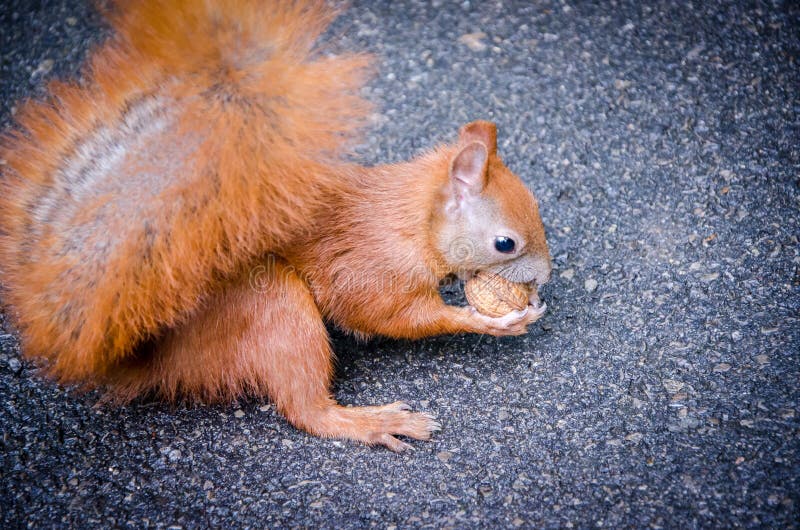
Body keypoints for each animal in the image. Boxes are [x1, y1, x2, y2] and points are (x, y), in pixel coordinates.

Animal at [0, 0, 551, 451]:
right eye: (505, 243)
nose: (544, 277)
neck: (412, 221)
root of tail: (159, 359)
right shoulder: (371, 266)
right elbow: (384, 315)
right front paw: (488, 320)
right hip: (273, 308)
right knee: (305, 409)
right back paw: (370, 422)